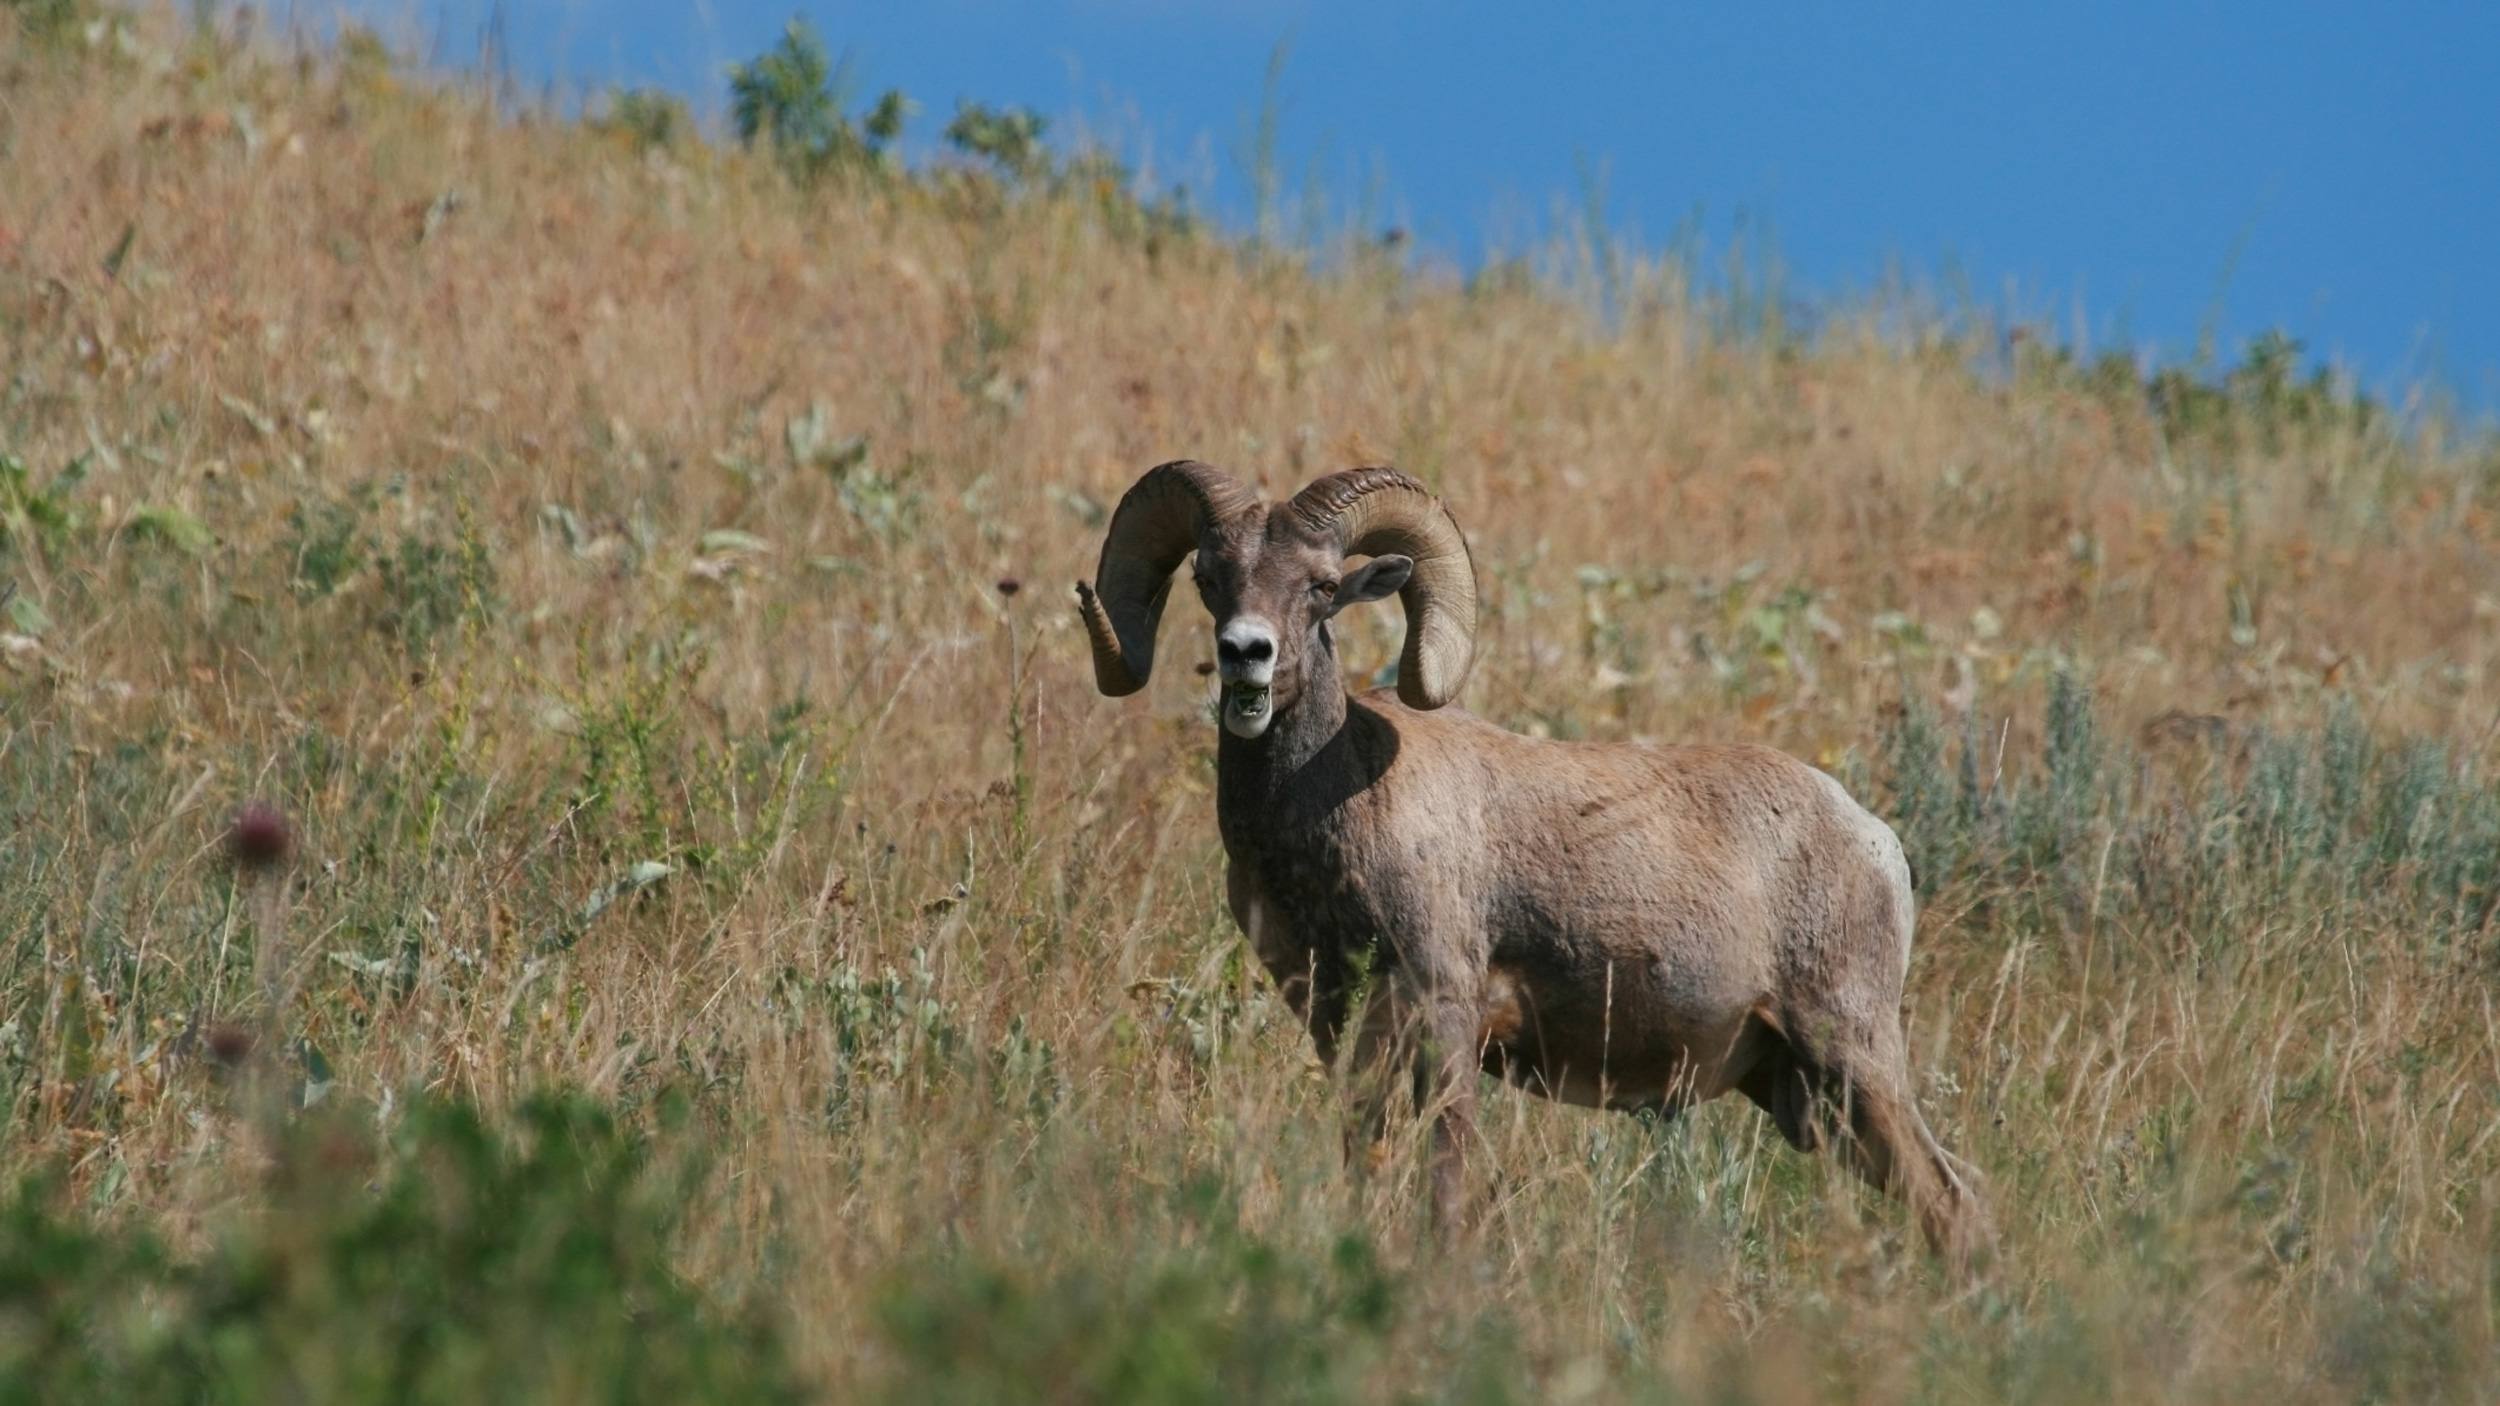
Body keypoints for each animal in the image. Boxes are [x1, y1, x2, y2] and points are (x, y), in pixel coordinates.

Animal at [1076, 459, 1993, 1265]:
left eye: (1323, 586)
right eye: (1209, 578)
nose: (1246, 657)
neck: (1333, 811)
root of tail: (1876, 841)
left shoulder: (1443, 1014)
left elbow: (1445, 1181)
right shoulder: (1339, 1026)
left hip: (1851, 1053)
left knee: (1953, 1205)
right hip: (1804, 1097)